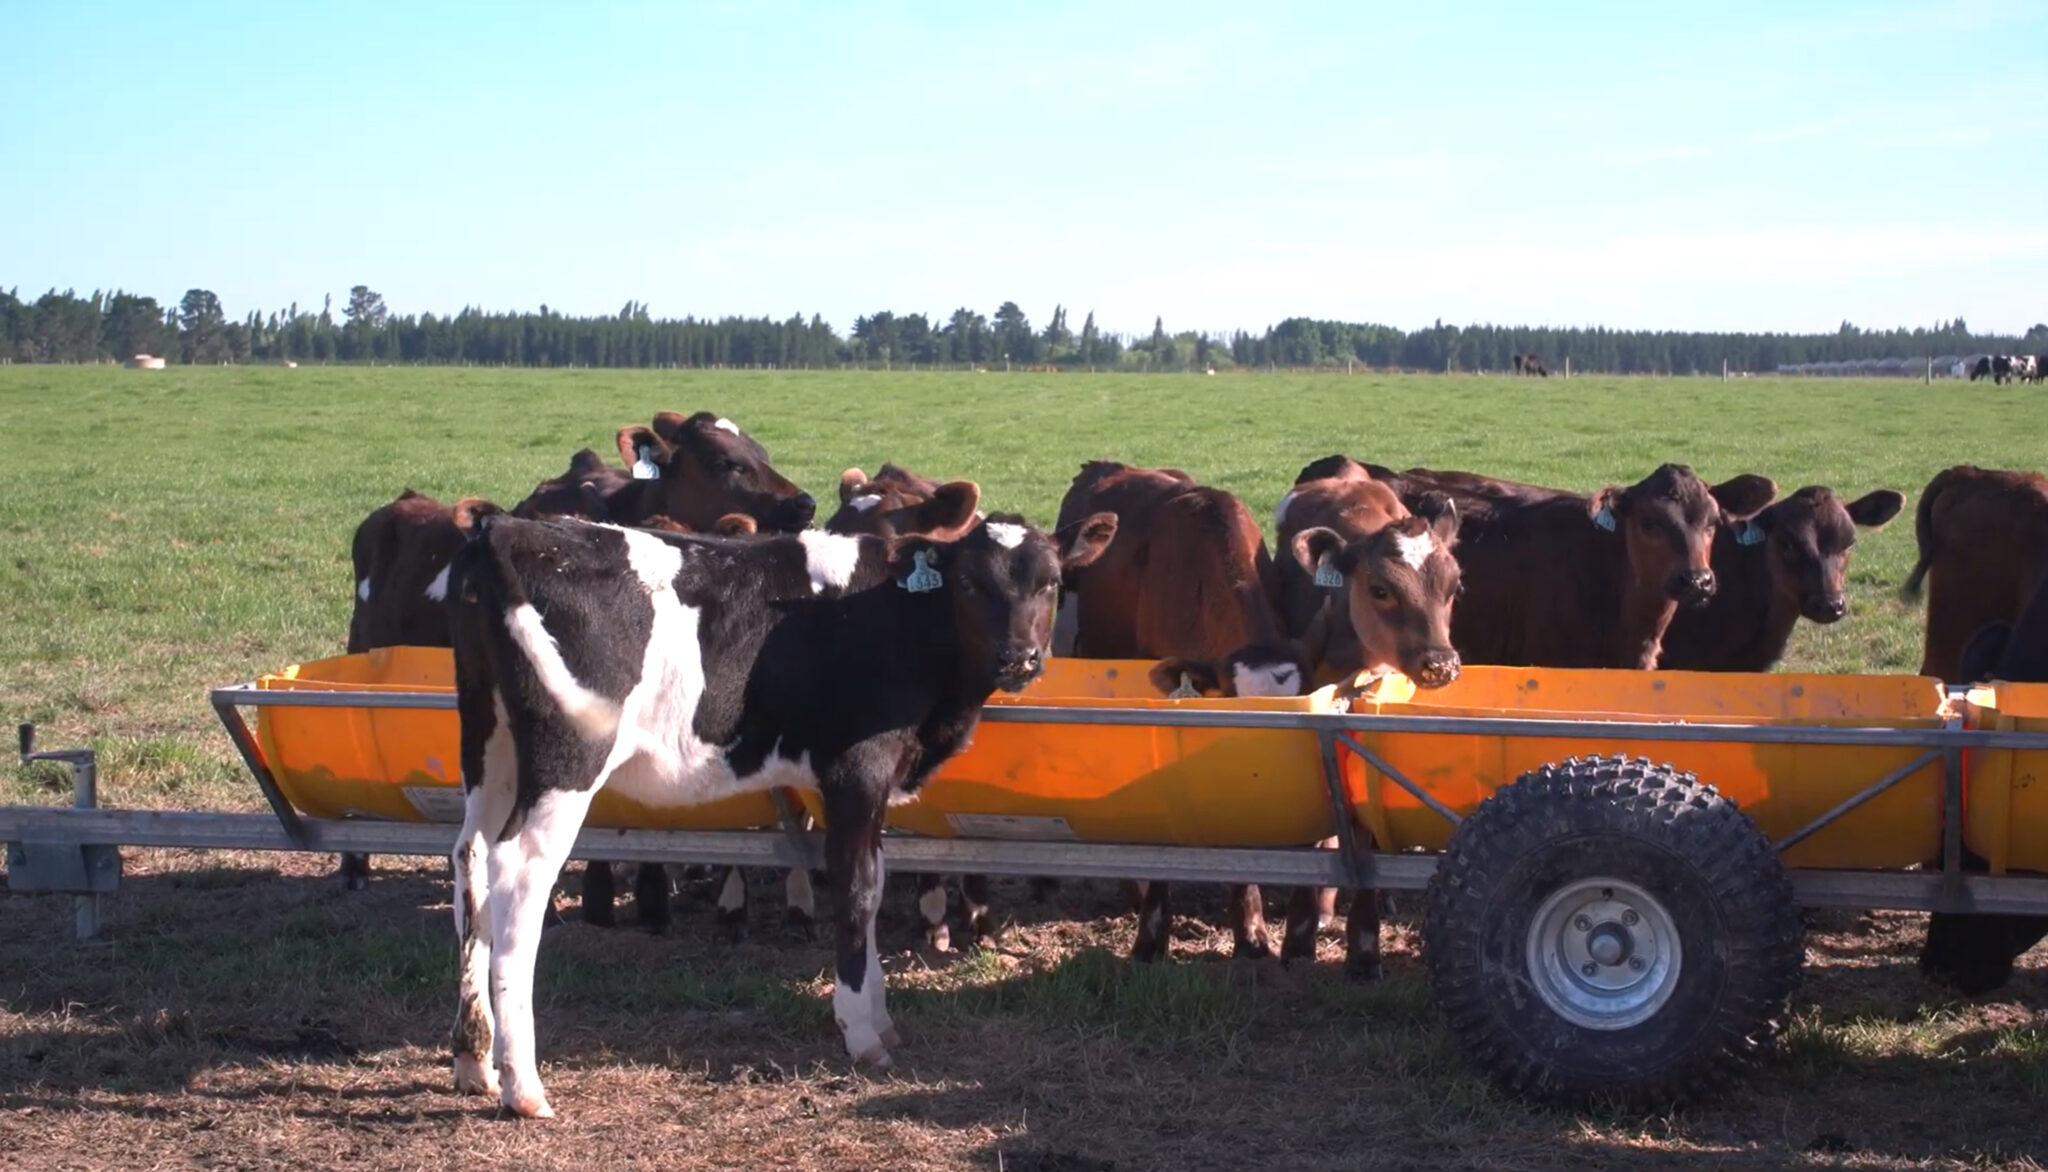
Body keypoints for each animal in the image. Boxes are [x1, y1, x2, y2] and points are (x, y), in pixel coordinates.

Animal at [441, 499, 1116, 1117]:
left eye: (1050, 582)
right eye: (972, 583)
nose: (1019, 656)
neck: (899, 617)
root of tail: (508, 528)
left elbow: (872, 883)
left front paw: (879, 1015)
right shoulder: (857, 769)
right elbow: (857, 889)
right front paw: (862, 1031)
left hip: (489, 741)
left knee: (471, 858)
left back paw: (474, 1061)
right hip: (568, 759)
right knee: (520, 874)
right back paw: (523, 1085)